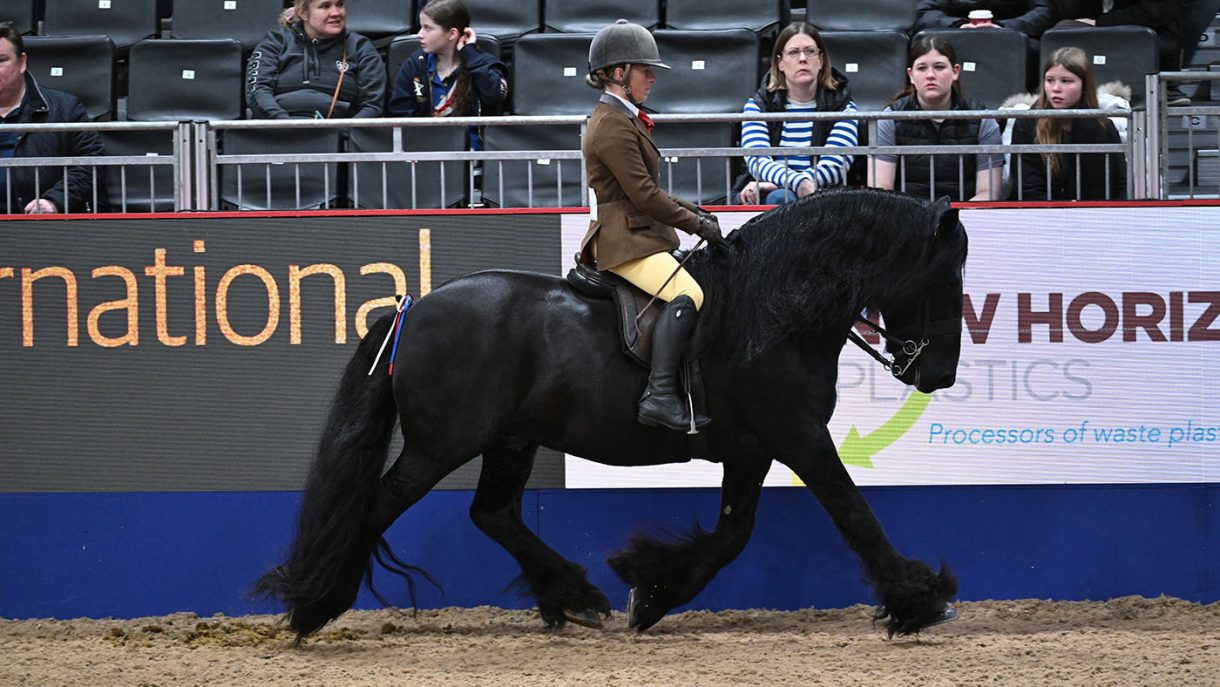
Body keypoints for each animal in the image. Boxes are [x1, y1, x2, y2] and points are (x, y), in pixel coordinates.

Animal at [255, 187, 968, 641]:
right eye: (946, 278)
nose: (937, 375)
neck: (773, 313)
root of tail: (413, 308)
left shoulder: (751, 448)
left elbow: (733, 534)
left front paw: (650, 590)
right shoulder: (798, 437)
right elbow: (854, 513)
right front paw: (918, 601)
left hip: (510, 439)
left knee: (493, 513)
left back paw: (574, 595)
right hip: (443, 444)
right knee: (380, 505)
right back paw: (315, 607)